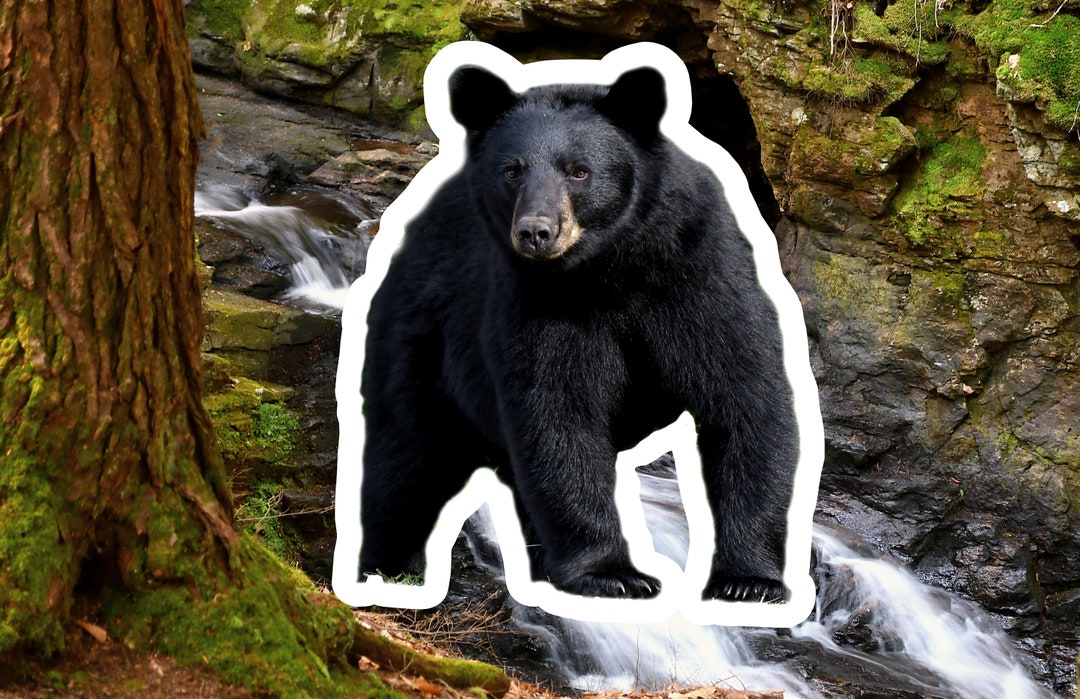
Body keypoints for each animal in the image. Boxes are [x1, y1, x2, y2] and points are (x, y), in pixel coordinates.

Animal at [357, 60, 801, 604]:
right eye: (512, 170)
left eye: (579, 170)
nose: (536, 231)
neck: (610, 267)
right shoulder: (539, 303)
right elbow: (557, 415)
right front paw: (613, 573)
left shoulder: (698, 275)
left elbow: (743, 396)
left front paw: (749, 580)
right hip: (419, 336)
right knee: (407, 457)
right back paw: (389, 569)